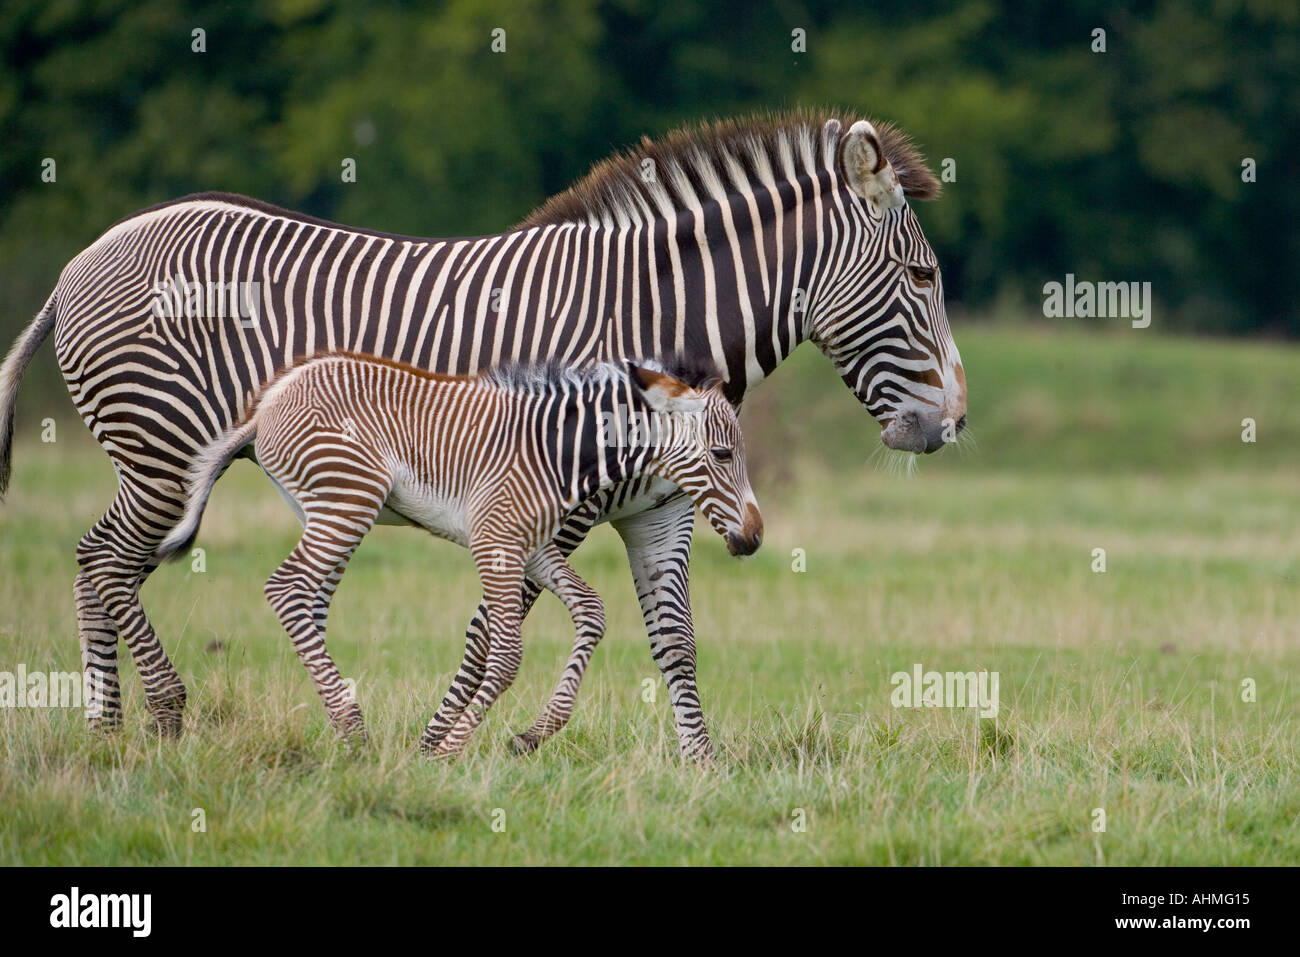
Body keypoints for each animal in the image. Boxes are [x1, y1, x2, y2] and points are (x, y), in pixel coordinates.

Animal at [153, 352, 761, 756]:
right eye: (722, 453)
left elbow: (591, 611)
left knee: (307, 599)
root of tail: (267, 403)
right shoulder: (496, 542)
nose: (754, 538)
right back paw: (353, 726)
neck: (558, 450)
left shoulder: (531, 545)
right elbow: (507, 652)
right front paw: (450, 748)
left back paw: (344, 727)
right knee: (286, 589)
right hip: (349, 499)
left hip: (327, 509)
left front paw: (536, 731)